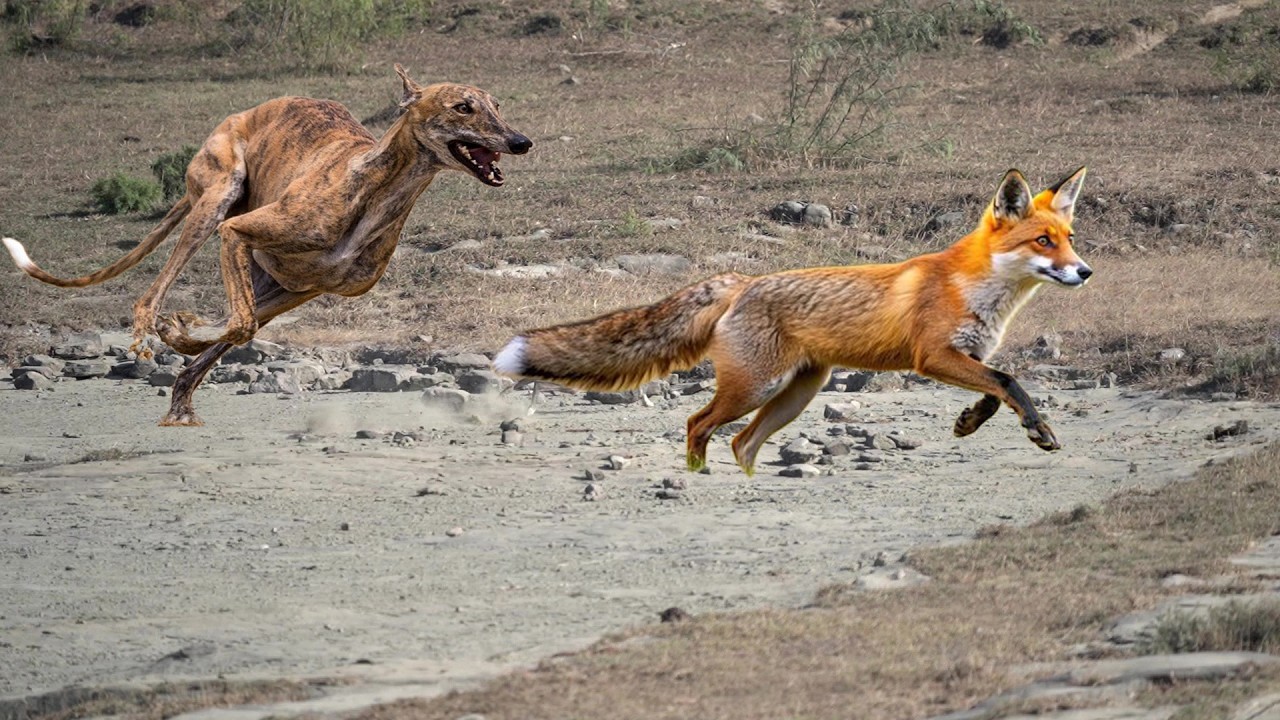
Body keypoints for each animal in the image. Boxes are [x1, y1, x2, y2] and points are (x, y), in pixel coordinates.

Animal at [493, 167, 1092, 475]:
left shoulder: (966, 356)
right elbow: (1010, 381)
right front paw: (1039, 430)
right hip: (756, 388)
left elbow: (996, 390)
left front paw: (969, 422)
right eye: (1043, 242)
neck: (979, 290)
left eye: (1068, 239)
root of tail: (741, 281)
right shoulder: (933, 356)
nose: (1085, 271)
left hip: (794, 395)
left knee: (741, 444)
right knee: (698, 425)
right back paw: (698, 478)